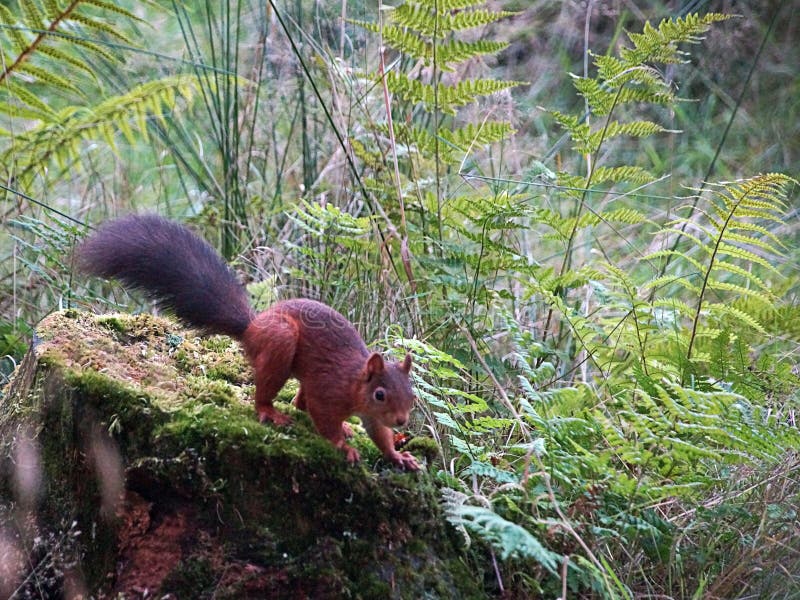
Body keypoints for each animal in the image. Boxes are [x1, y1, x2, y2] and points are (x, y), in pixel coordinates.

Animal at [77, 214, 420, 471]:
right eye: (379, 394)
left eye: (412, 395)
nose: (403, 419)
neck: (354, 382)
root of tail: (253, 328)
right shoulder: (330, 390)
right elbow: (323, 416)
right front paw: (342, 446)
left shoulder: (372, 417)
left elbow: (380, 435)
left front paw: (398, 455)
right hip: (280, 342)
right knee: (273, 396)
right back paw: (271, 412)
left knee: (300, 401)